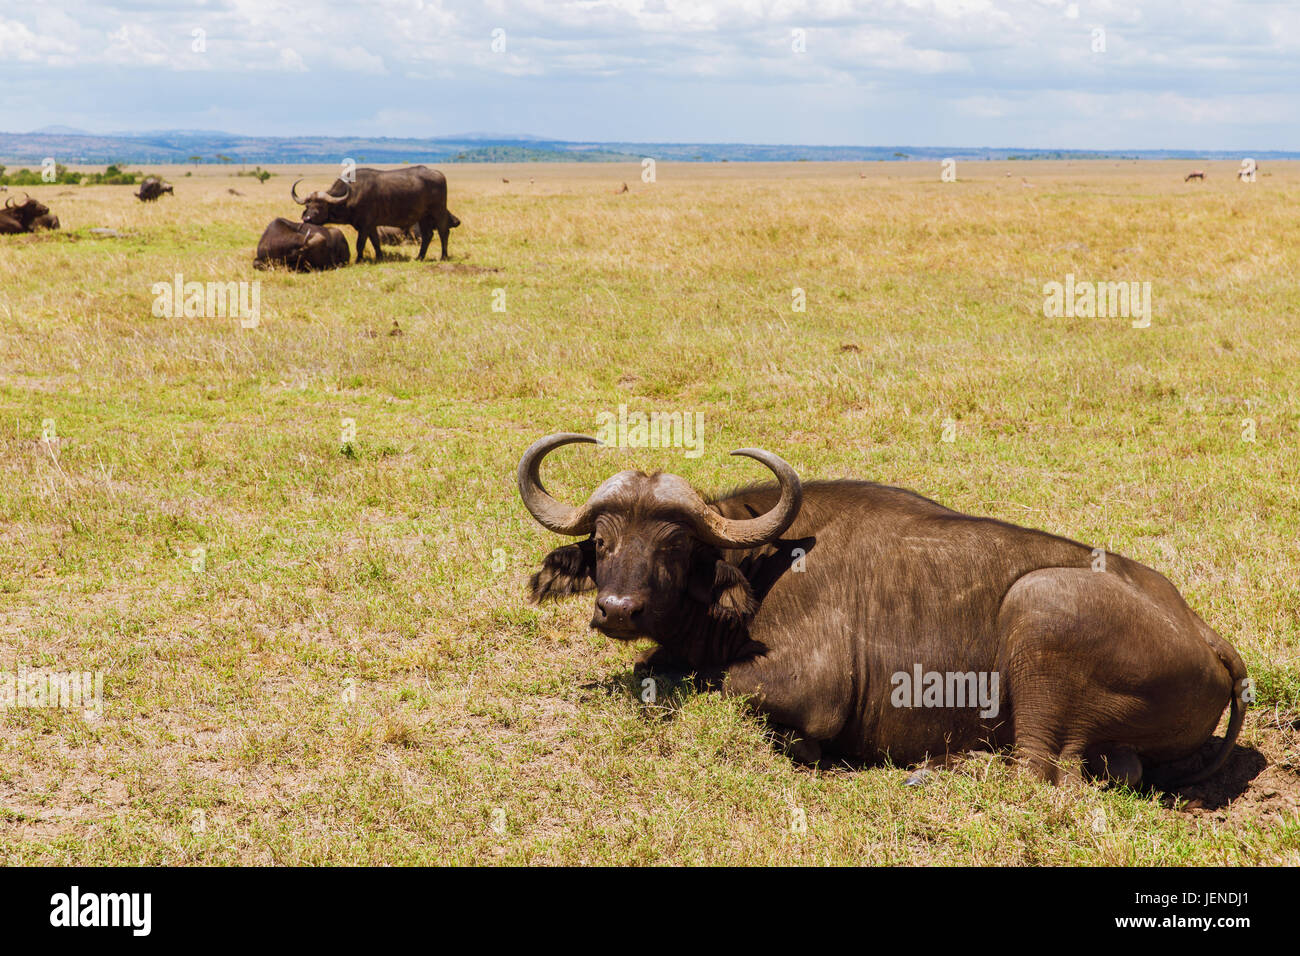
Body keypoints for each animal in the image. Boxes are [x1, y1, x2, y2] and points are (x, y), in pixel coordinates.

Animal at [291, 166, 460, 262]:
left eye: (320, 206)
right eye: (308, 205)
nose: (306, 218)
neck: (352, 194)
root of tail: (438, 174)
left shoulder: (365, 225)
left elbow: (360, 243)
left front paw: (359, 260)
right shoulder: (371, 226)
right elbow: (375, 242)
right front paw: (379, 257)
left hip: (438, 212)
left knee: (444, 232)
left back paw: (443, 256)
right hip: (423, 217)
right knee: (428, 236)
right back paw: (420, 257)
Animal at [518, 434, 1248, 789]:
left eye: (672, 546)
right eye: (603, 542)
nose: (617, 609)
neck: (760, 564)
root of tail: (1206, 635)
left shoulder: (807, 689)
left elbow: (732, 690)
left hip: (1039, 607)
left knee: (1043, 769)